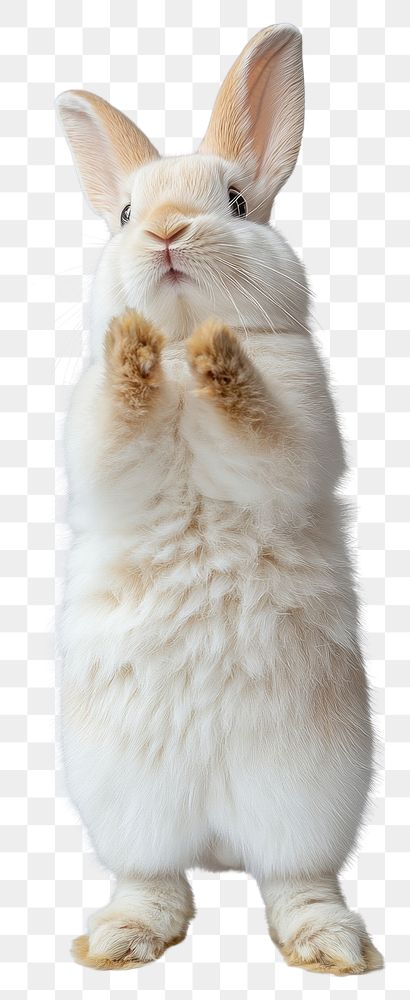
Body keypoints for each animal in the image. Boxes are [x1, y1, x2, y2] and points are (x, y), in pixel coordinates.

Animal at [56, 23, 383, 976]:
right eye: (126, 216)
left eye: (235, 202)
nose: (168, 232)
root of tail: (217, 841)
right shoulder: (99, 448)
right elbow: (120, 424)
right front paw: (135, 349)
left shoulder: (295, 418)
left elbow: (257, 424)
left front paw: (216, 353)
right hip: (128, 801)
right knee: (154, 880)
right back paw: (119, 941)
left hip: (309, 795)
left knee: (297, 879)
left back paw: (333, 948)